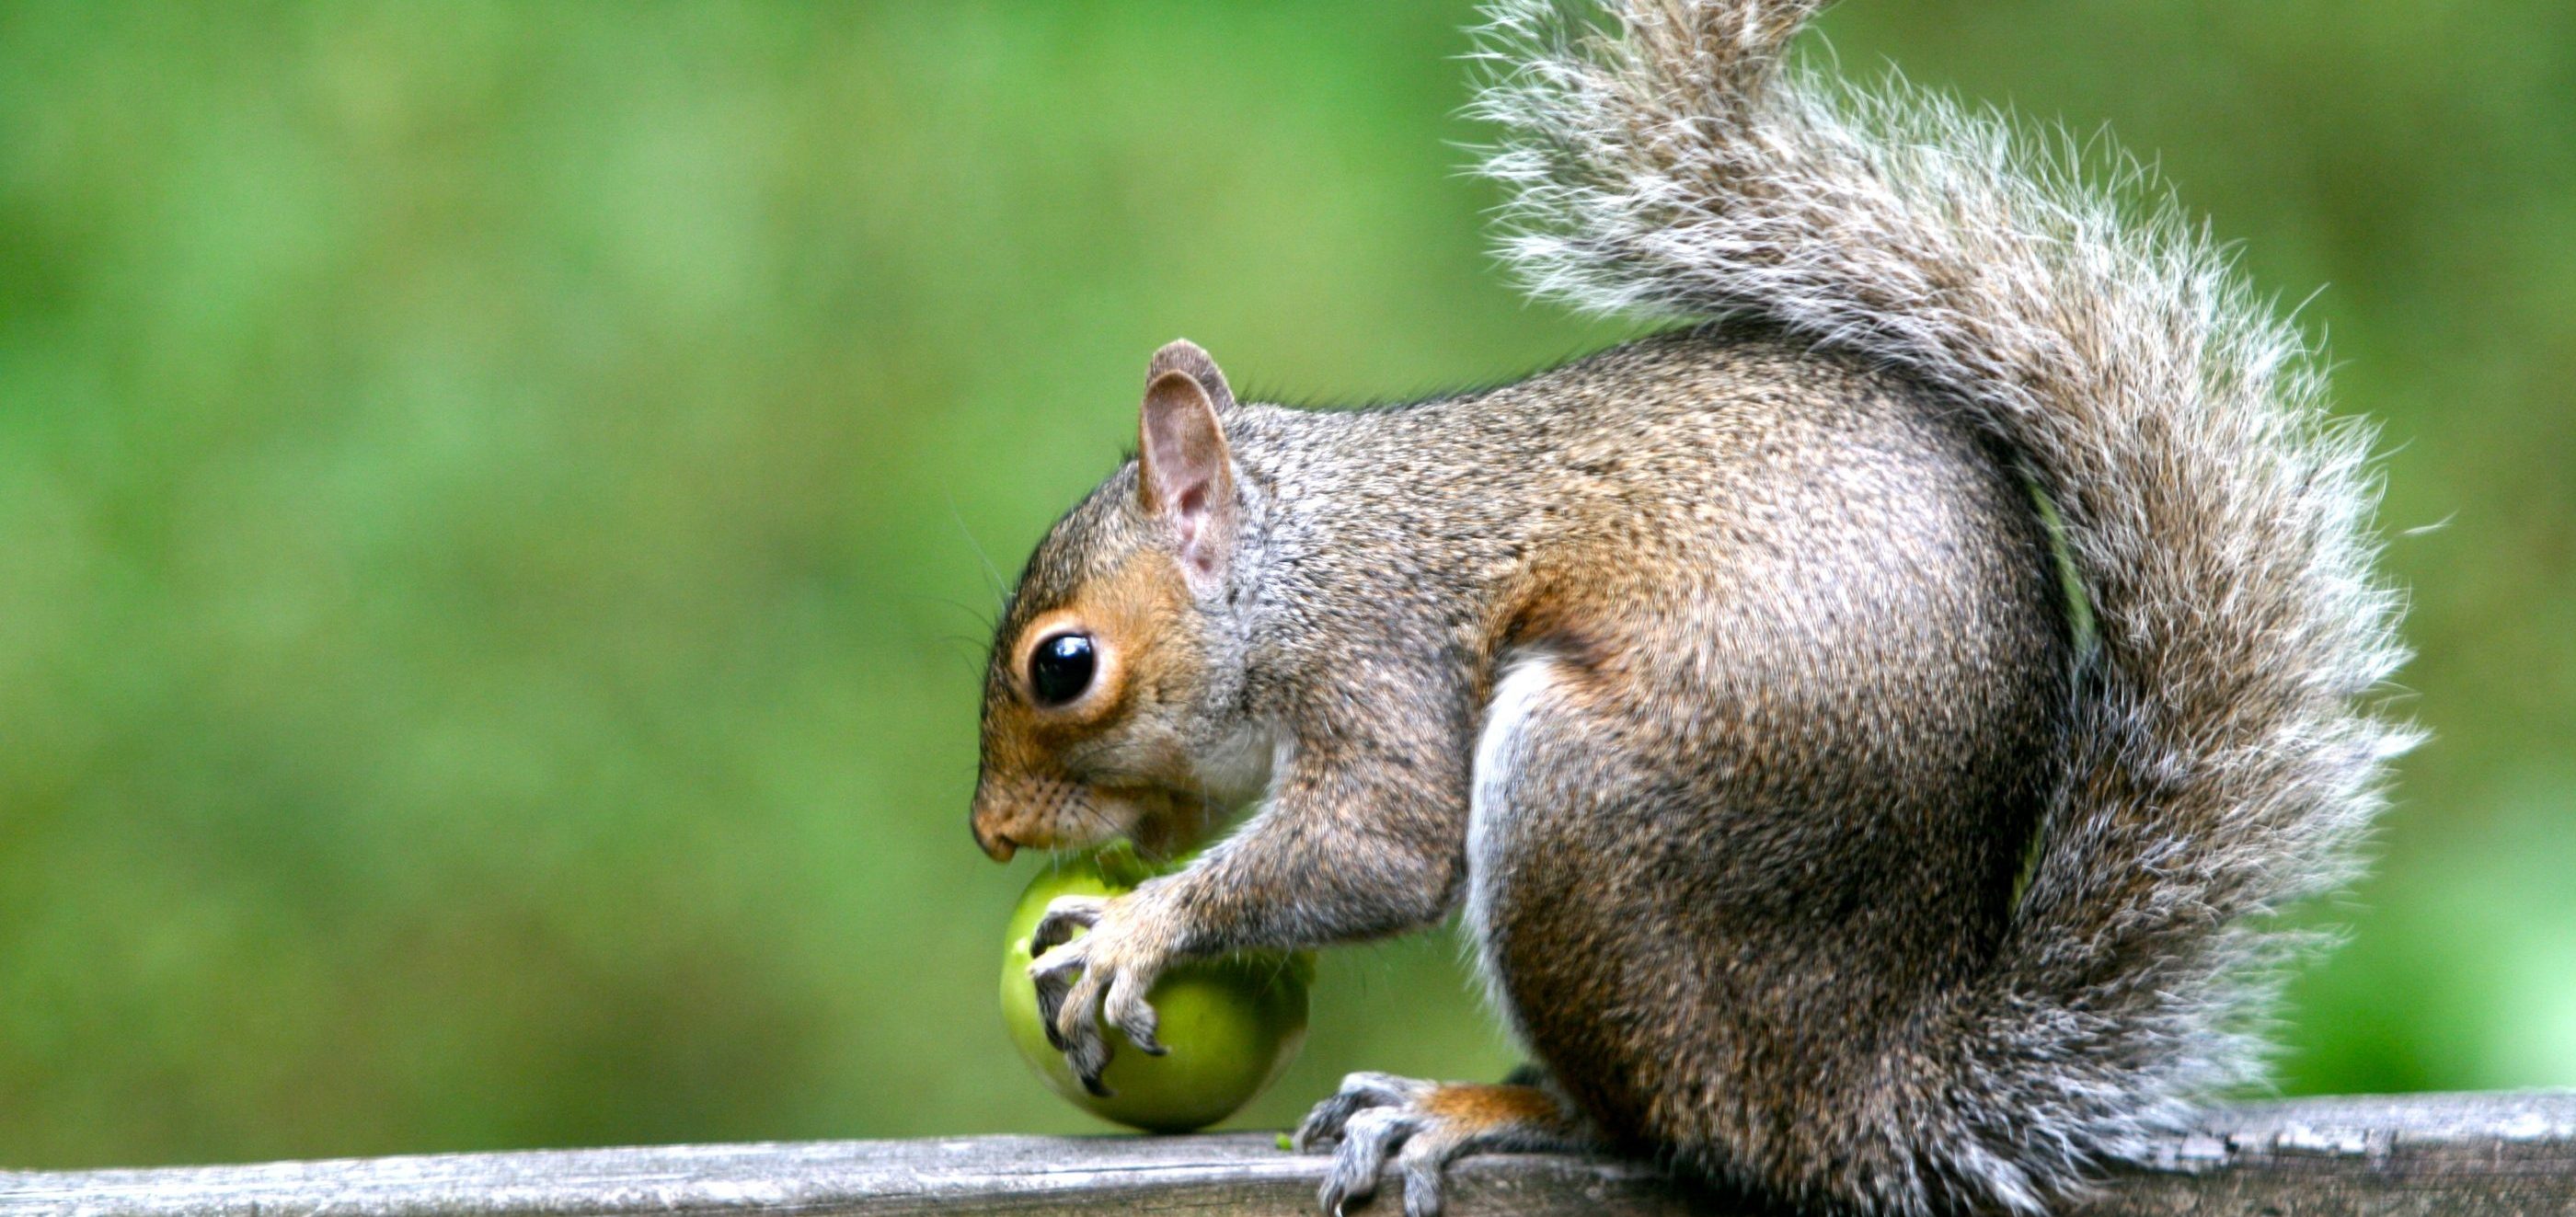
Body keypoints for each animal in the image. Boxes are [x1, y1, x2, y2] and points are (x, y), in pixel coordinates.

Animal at [968, 1, 2414, 1213]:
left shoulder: (1376, 654)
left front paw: (1137, 927)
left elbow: (1384, 842)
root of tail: (1863, 1088)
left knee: (1650, 1125)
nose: (992, 833)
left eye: (1063, 664)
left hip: (1585, 815)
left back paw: (1471, 1106)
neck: (1294, 561)